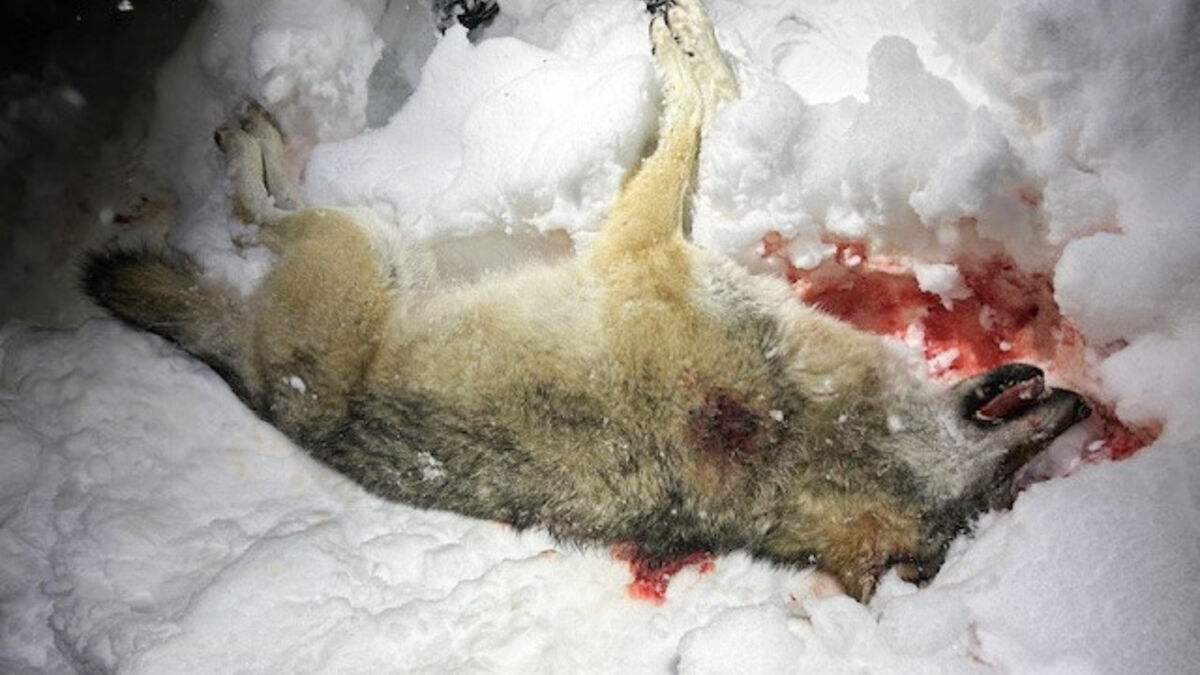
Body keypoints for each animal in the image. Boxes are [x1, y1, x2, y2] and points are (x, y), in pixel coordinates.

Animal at [83, 0, 1088, 601]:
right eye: (998, 482)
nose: (1077, 408)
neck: (795, 424)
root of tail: (264, 393)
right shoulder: (648, 241)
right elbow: (699, 110)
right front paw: (692, 41)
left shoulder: (639, 245)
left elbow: (689, 113)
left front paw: (687, 40)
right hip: (373, 253)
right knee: (257, 216)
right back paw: (247, 135)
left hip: (360, 253)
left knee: (261, 218)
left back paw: (246, 147)